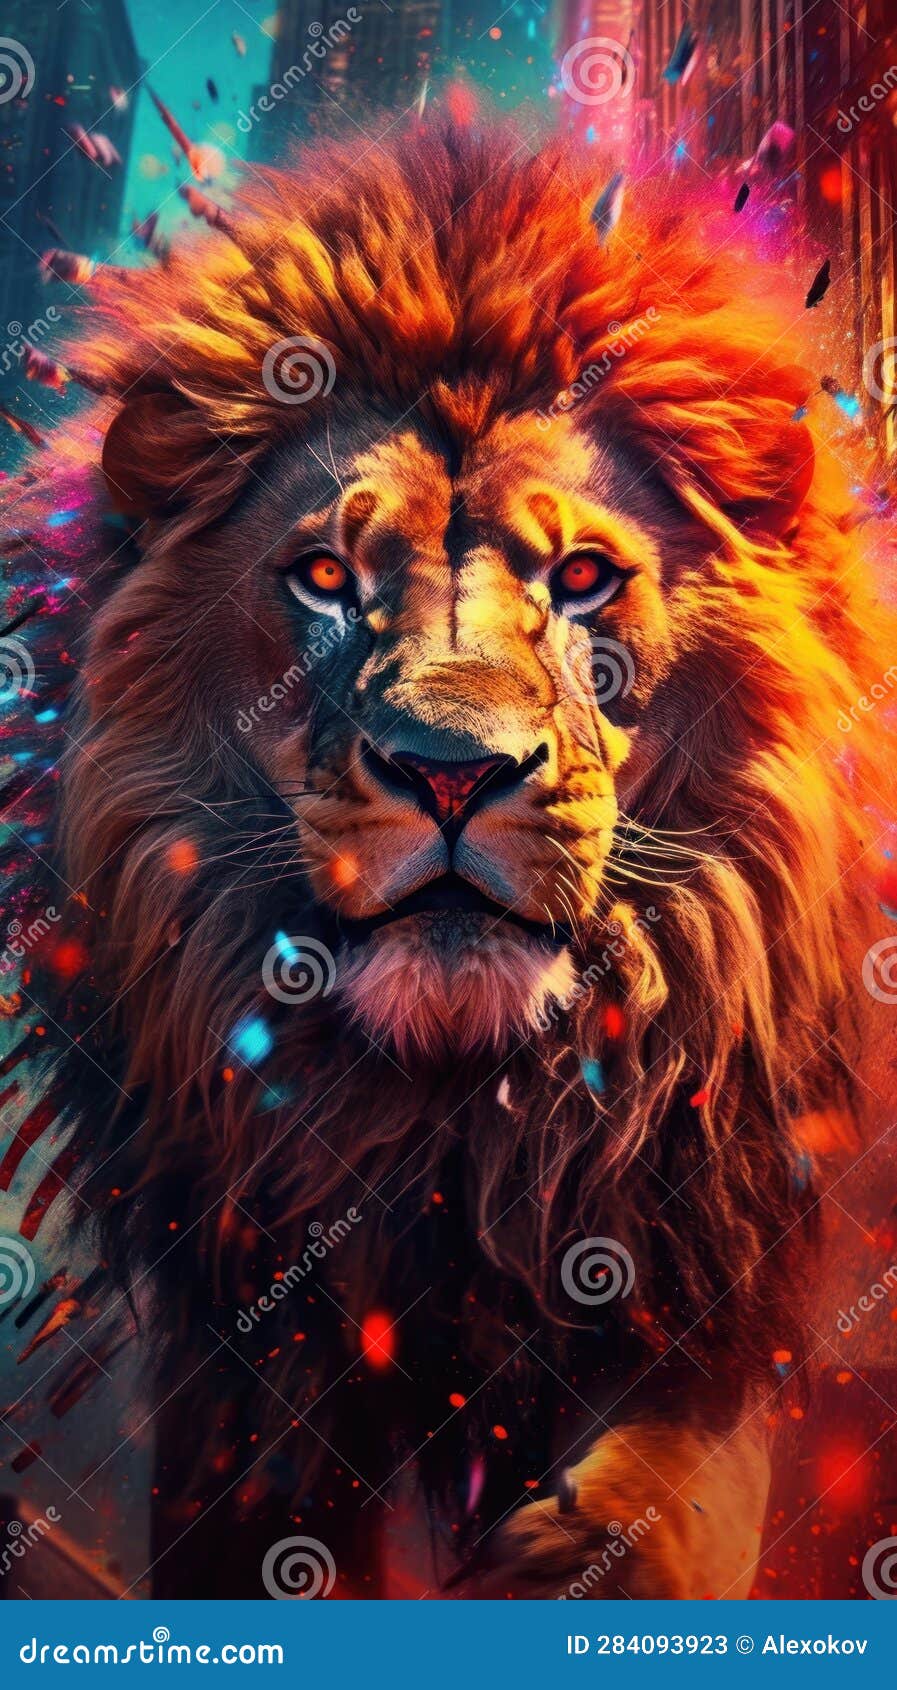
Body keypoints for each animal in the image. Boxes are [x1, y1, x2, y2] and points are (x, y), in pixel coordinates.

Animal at [0, 119, 892, 1600]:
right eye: (321, 576)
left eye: (584, 578)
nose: (452, 768)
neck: (451, 1122)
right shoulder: (240, 1343)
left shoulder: (703, 1270)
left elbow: (650, 1521)